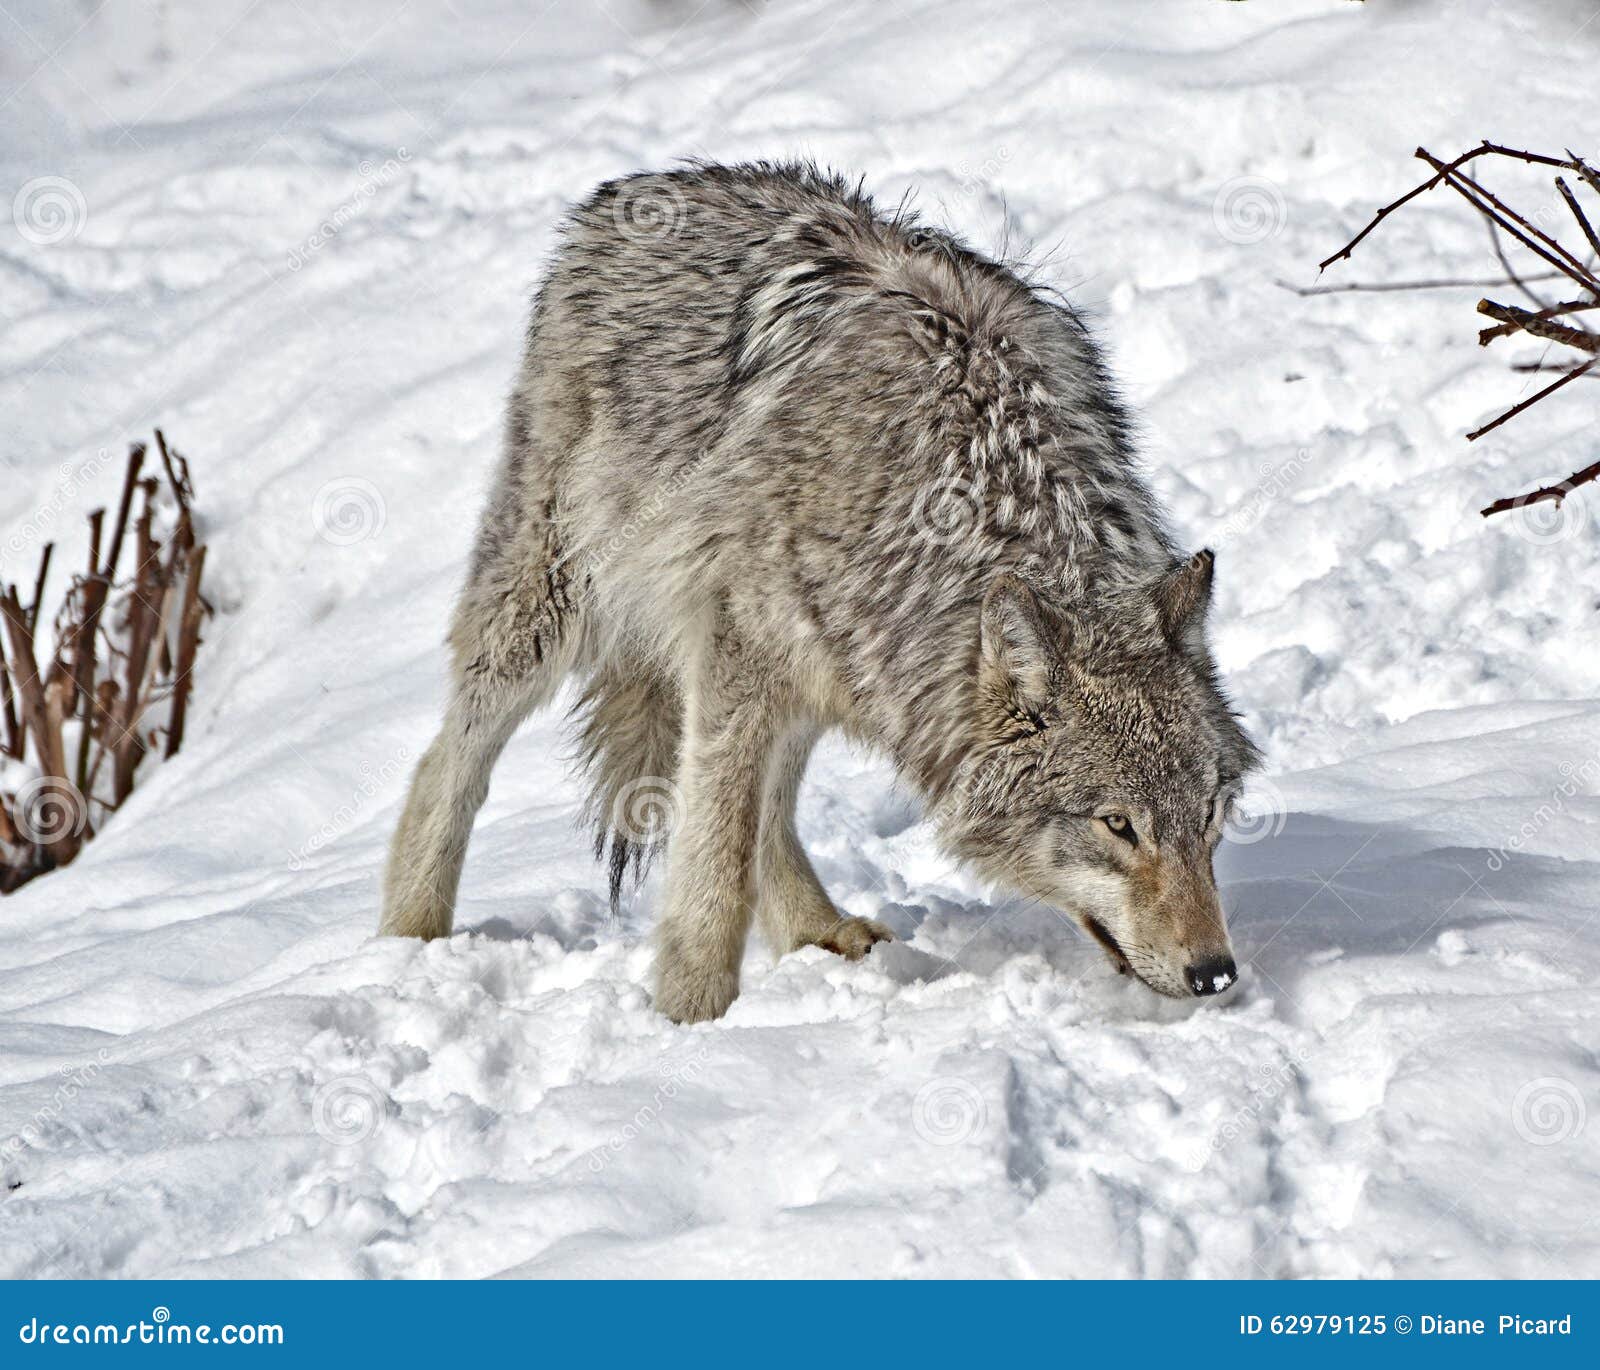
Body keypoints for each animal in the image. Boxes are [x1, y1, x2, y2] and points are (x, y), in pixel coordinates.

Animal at [380, 161, 1260, 1022]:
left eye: (1209, 815)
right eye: (1117, 825)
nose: (1215, 973)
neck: (967, 487)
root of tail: (639, 186)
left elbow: (741, 825)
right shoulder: (736, 646)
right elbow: (715, 859)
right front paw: (687, 1020)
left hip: (814, 664)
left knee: (767, 807)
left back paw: (819, 933)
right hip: (559, 603)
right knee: (445, 759)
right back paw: (408, 941)